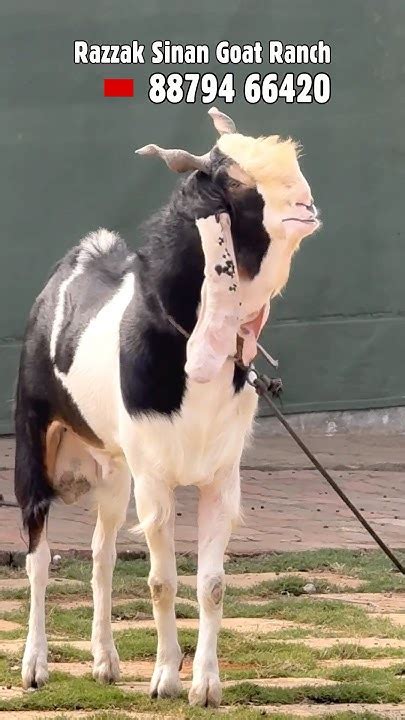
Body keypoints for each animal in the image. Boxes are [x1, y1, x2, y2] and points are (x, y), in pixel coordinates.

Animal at [14, 108, 320, 707]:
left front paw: (206, 684)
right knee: (38, 555)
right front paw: (164, 678)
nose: (307, 205)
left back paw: (105, 662)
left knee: (102, 554)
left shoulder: (221, 477)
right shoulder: (155, 478)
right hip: (35, 442)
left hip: (112, 468)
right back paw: (35, 666)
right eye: (235, 181)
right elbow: (161, 580)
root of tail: (72, 266)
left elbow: (211, 584)